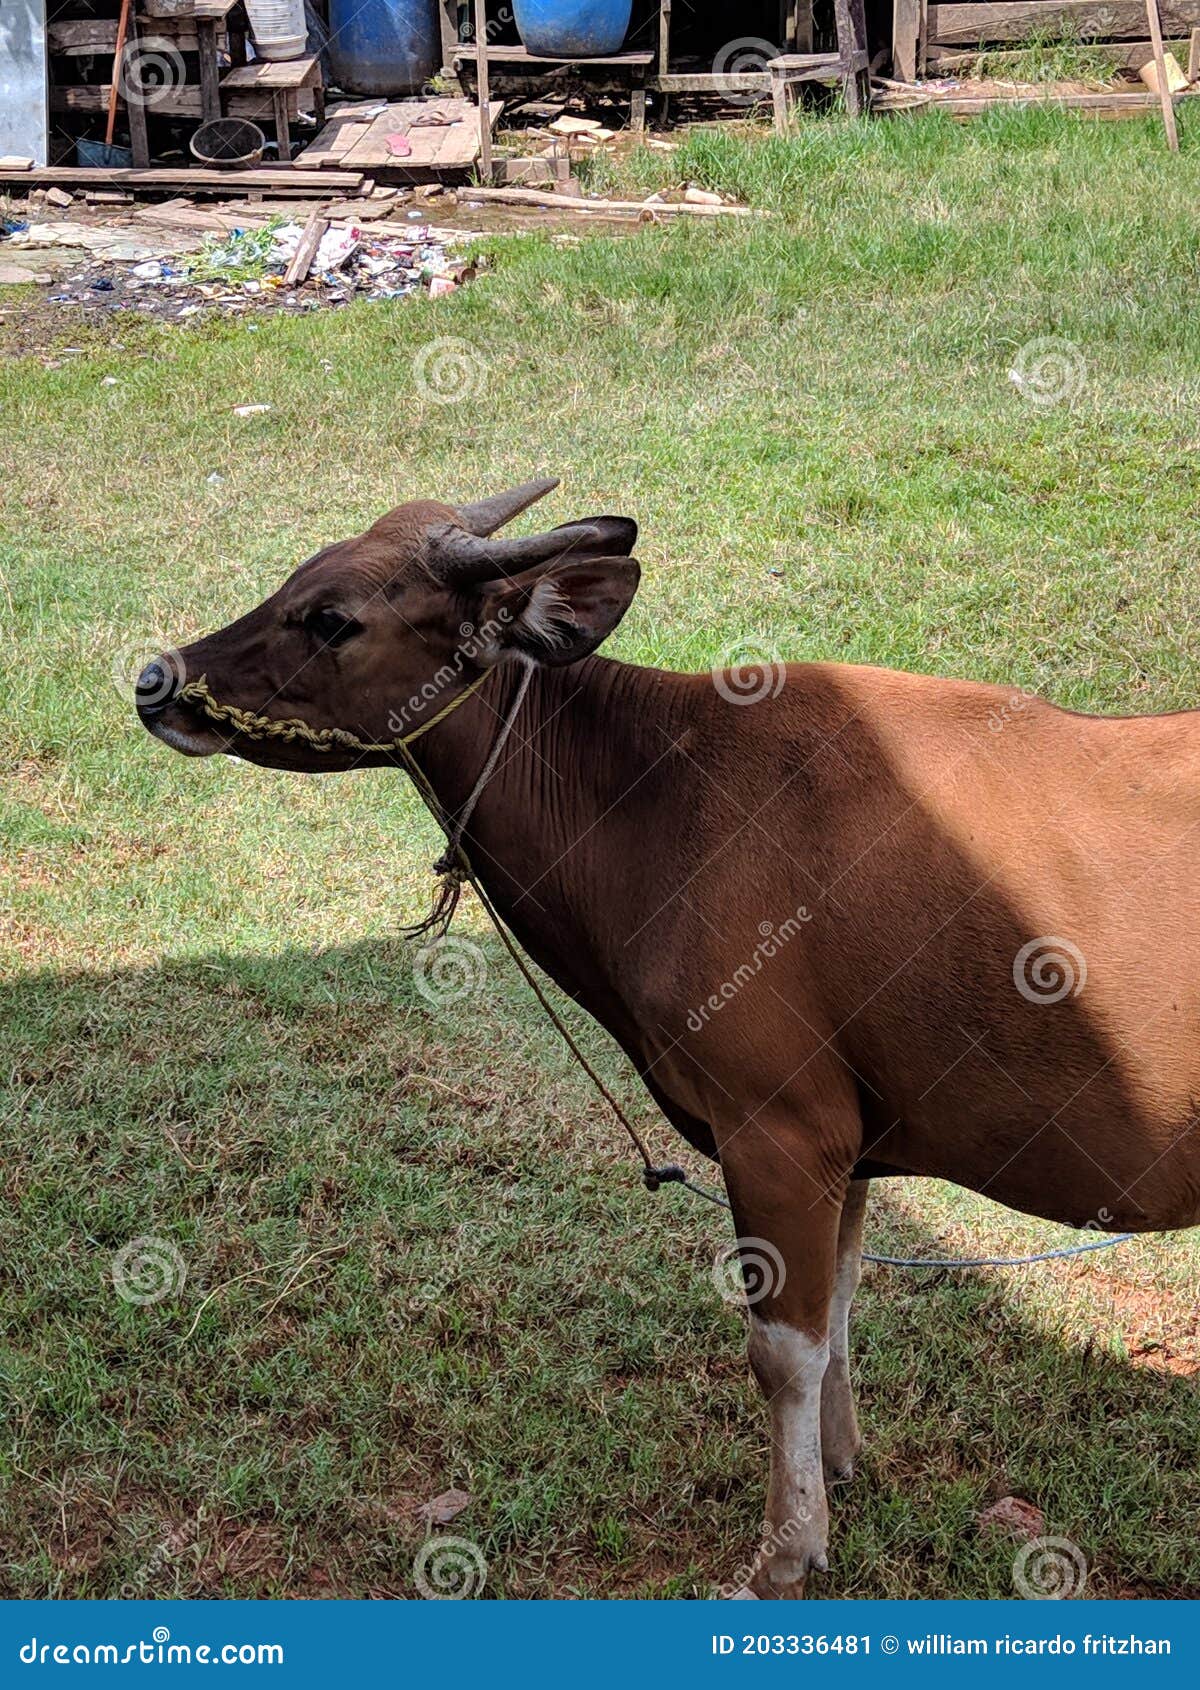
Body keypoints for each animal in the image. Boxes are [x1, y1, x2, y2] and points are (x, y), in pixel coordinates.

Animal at [136, 477, 1200, 1598]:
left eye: (332, 617)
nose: (158, 681)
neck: (657, 797)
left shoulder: (778, 1123)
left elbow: (782, 1350)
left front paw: (786, 1551)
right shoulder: (851, 1141)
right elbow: (841, 1306)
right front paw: (840, 1465)